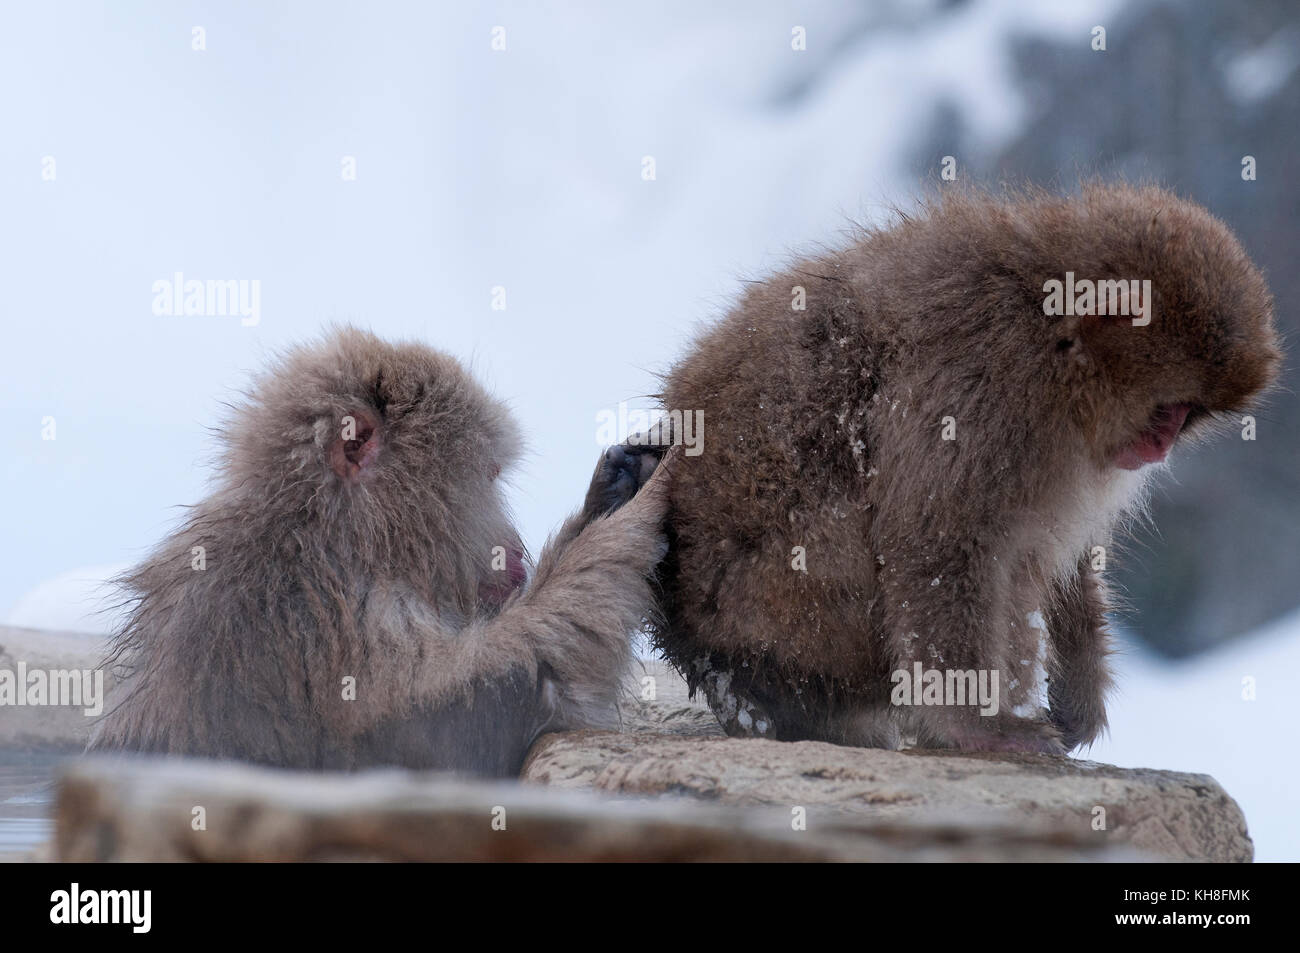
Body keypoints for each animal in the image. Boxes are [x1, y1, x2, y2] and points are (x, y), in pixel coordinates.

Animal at [89, 326, 676, 776]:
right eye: (490, 477)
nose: (515, 543)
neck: (340, 536)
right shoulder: (326, 618)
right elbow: (475, 720)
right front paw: (632, 515)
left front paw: (616, 490)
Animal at [633, 183, 1280, 755]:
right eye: (1168, 408)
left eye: (1188, 415)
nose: (1162, 446)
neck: (1049, 345)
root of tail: (691, 643)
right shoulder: (981, 391)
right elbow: (938, 544)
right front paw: (979, 726)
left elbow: (1065, 558)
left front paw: (1078, 696)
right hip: (780, 611)